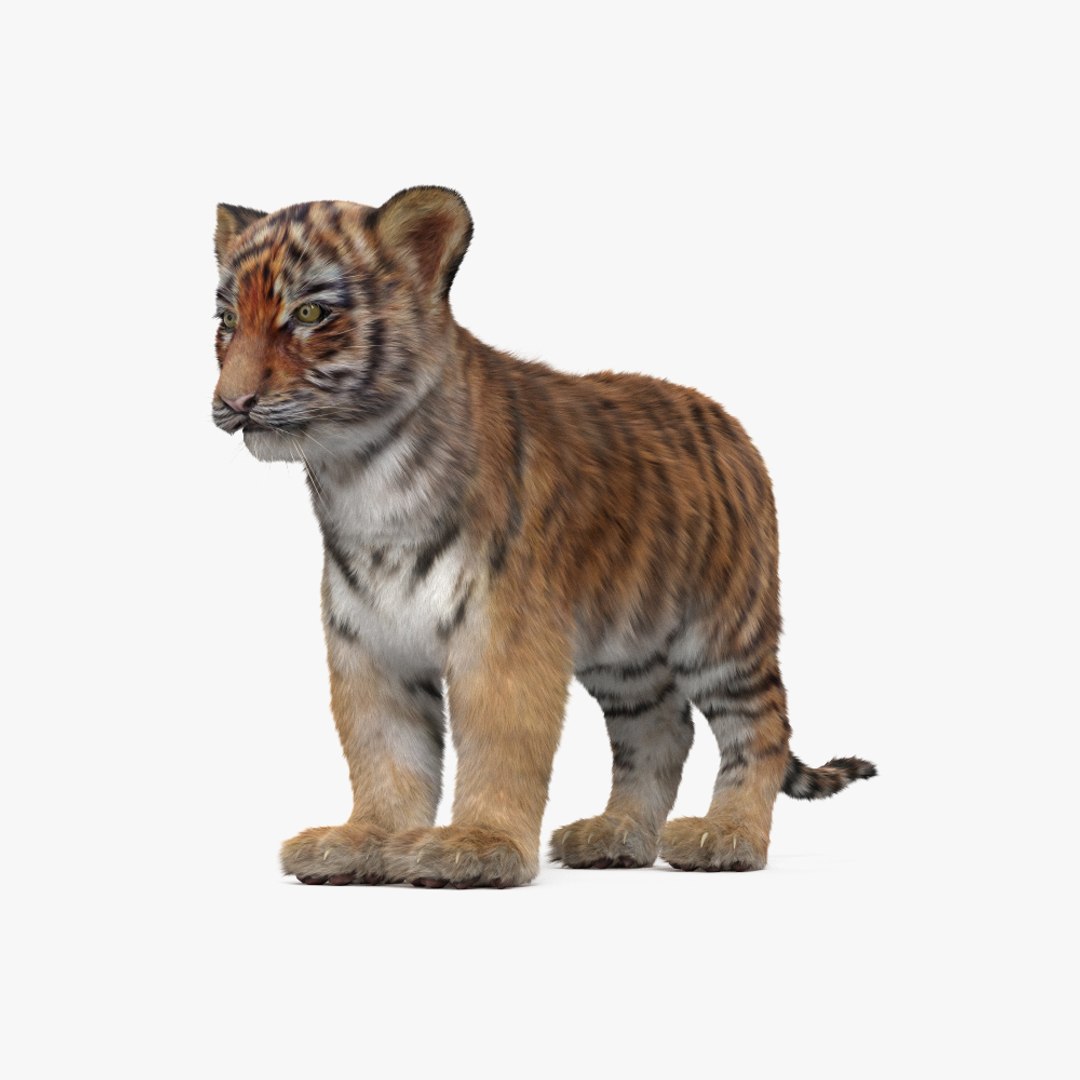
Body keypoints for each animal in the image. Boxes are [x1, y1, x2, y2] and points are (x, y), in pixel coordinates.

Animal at [211, 187, 876, 889]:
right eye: (225, 320)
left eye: (309, 313)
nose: (233, 401)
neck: (364, 479)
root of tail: (729, 425)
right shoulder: (370, 643)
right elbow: (385, 753)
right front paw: (366, 842)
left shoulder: (505, 640)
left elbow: (500, 744)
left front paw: (478, 847)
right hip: (627, 654)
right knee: (662, 730)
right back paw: (617, 836)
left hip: (724, 631)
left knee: (761, 728)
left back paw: (727, 837)